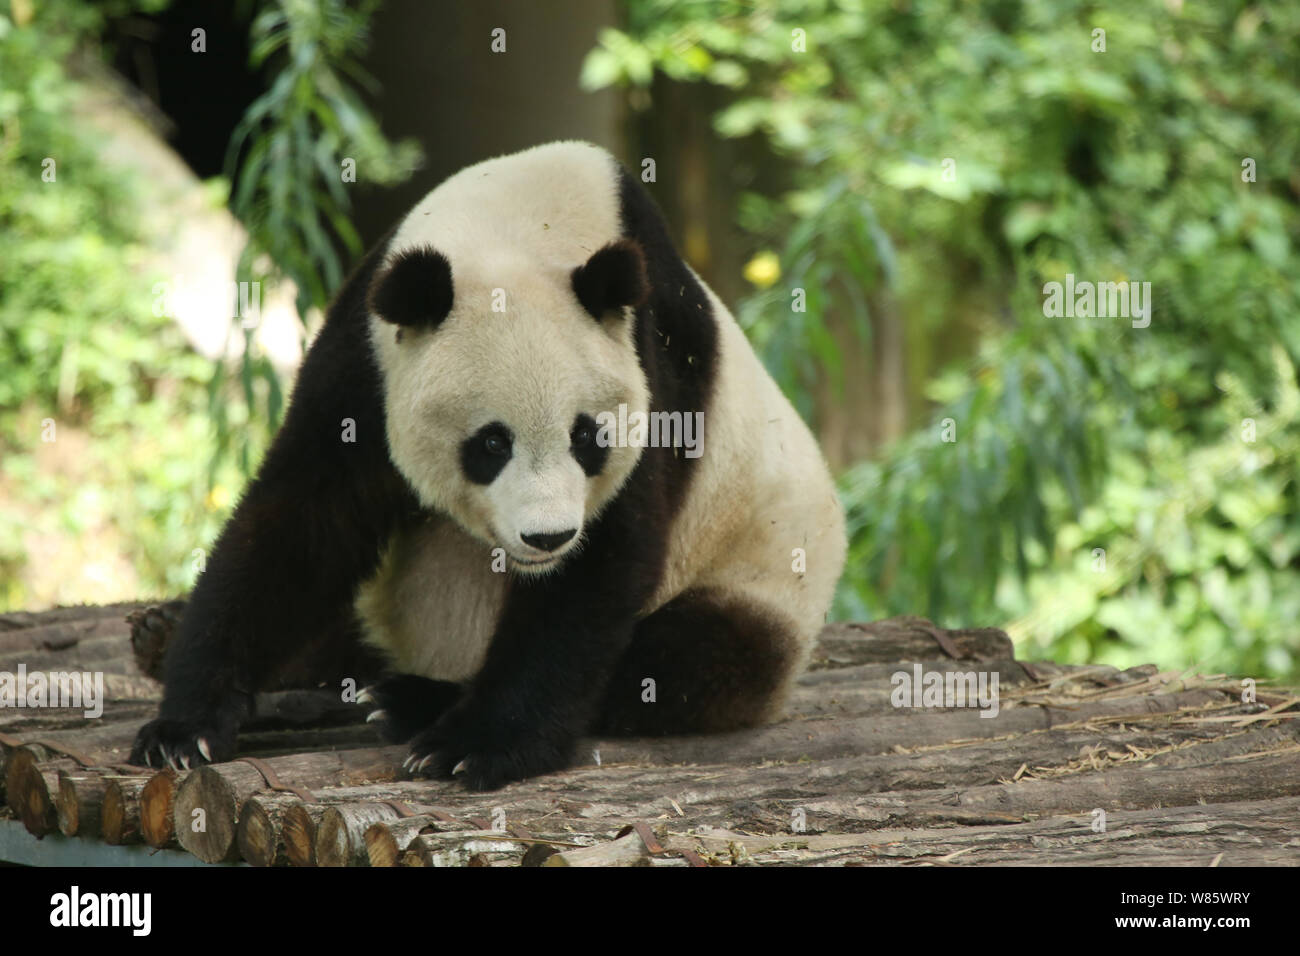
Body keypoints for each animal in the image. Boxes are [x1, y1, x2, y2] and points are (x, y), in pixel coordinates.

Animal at [131, 141, 846, 791]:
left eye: (587, 437)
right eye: (491, 443)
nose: (548, 537)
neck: (518, 227)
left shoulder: (654, 369)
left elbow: (602, 566)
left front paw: (475, 746)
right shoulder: (365, 356)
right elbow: (304, 521)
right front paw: (183, 729)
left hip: (761, 579)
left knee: (690, 658)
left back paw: (411, 701)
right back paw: (166, 635)